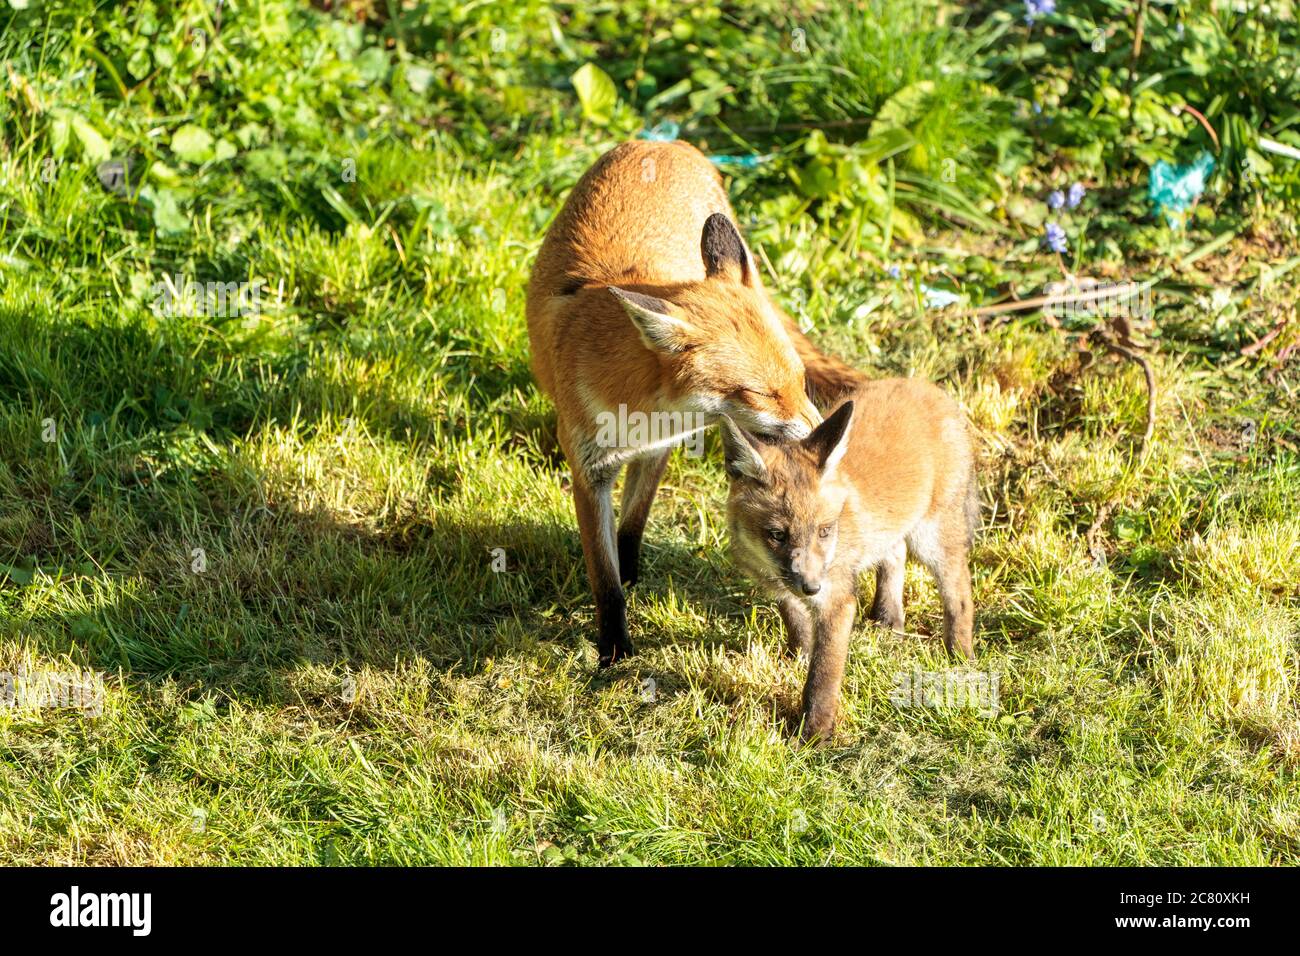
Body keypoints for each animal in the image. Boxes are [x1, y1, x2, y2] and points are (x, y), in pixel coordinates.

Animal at [527, 139, 864, 667]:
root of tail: (664, 142)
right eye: (761, 393)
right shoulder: (588, 471)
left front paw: (631, 574)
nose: (825, 441)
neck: (642, 415)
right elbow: (603, 578)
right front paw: (614, 649)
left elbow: (633, 523)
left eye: (799, 381)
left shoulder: (661, 447)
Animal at [719, 378, 979, 741]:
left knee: (959, 594)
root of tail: (927, 386)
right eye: (777, 535)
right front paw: (797, 659)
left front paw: (815, 734)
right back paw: (889, 618)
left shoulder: (838, 601)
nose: (812, 587)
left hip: (932, 538)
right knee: (895, 555)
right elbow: (798, 626)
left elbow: (823, 676)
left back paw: (958, 654)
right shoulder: (783, 589)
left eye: (824, 531)